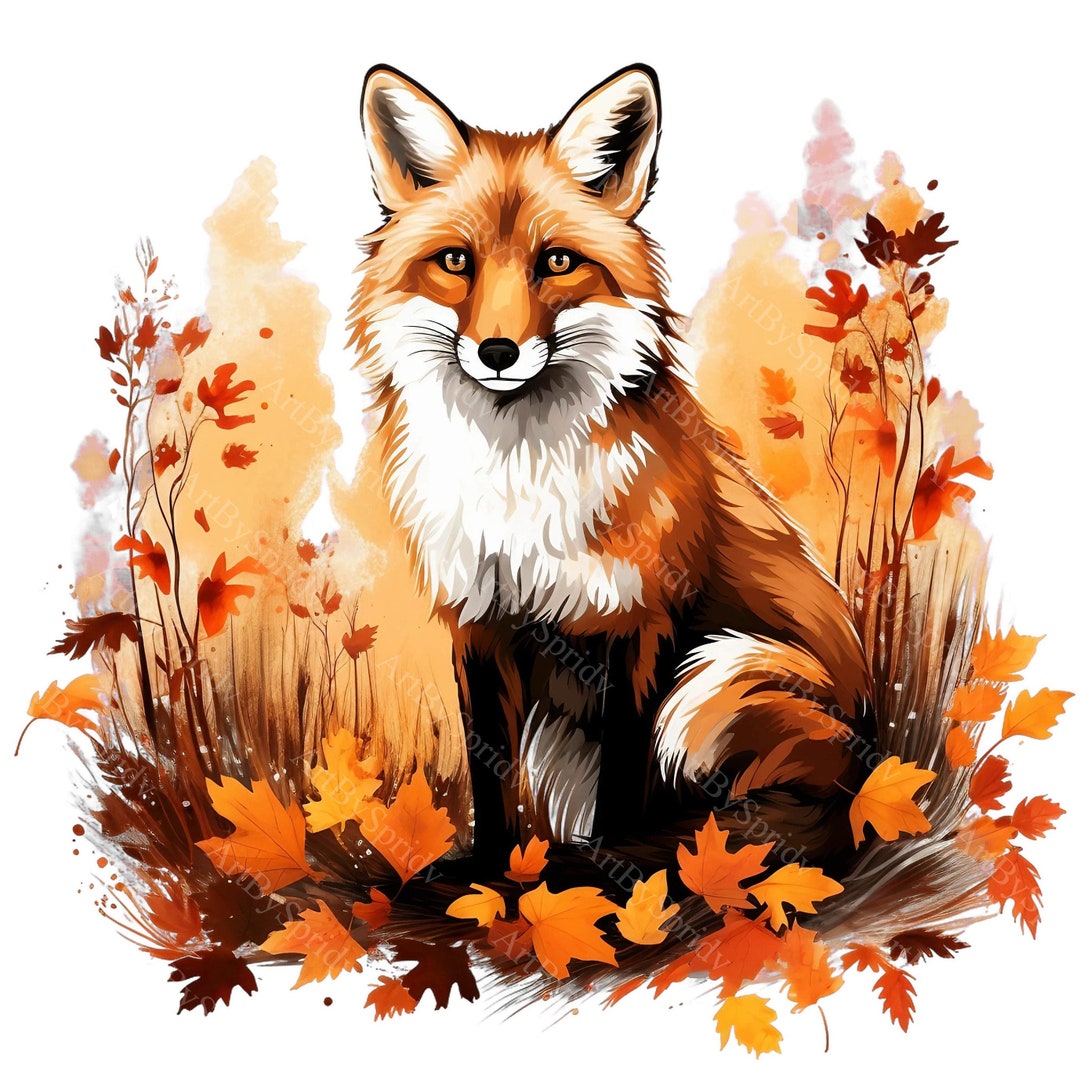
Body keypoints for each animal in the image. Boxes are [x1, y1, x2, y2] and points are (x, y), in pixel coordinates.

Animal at [349, 64, 876, 874]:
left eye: (558, 261)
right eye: (456, 262)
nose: (497, 352)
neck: (518, 482)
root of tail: (868, 781)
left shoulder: (640, 621)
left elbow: (624, 784)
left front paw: (614, 870)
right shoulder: (480, 621)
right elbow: (489, 770)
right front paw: (487, 872)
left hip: (720, 678)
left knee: (738, 818)